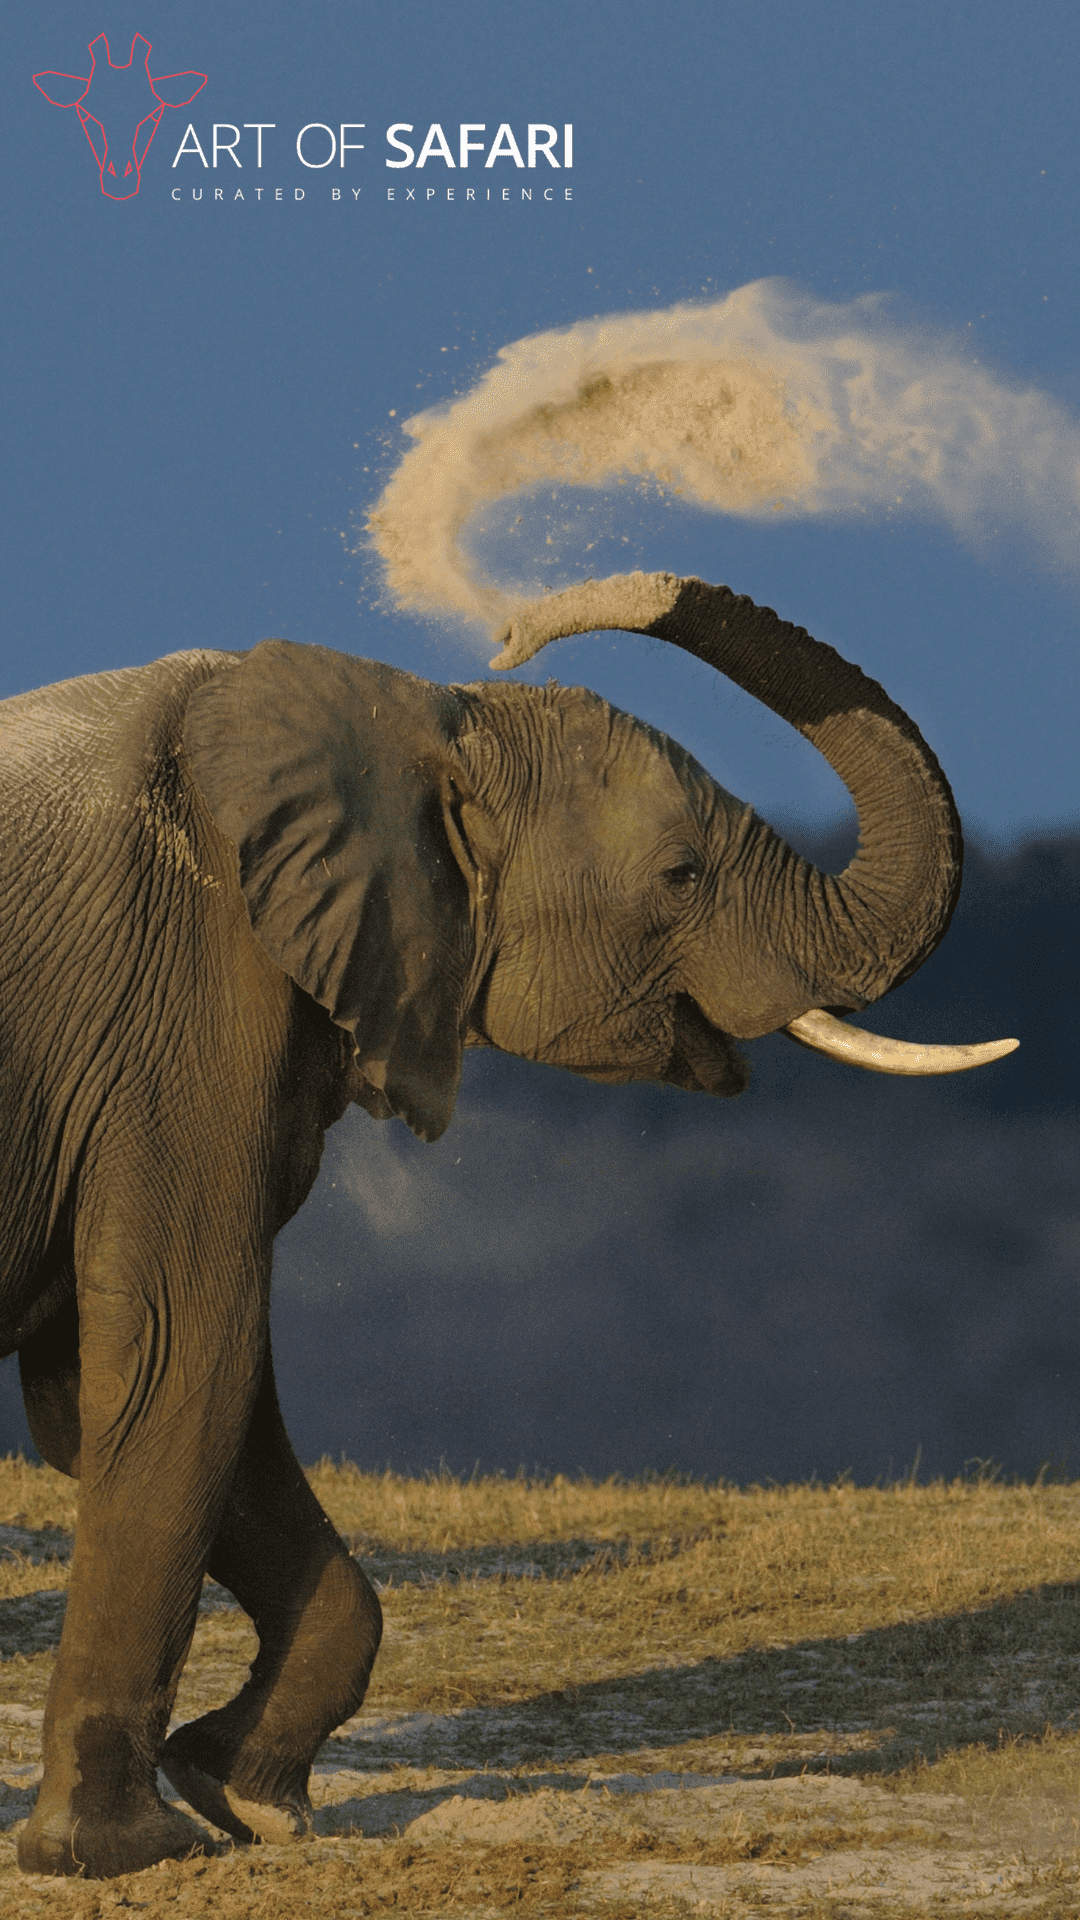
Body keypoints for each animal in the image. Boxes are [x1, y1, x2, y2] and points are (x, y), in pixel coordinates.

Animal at [0, 568, 1014, 1878]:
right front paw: (126, 1854)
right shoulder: (179, 998)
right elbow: (185, 1358)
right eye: (682, 877)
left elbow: (121, 1392)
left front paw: (248, 1799)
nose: (510, 627)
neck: (419, 717)